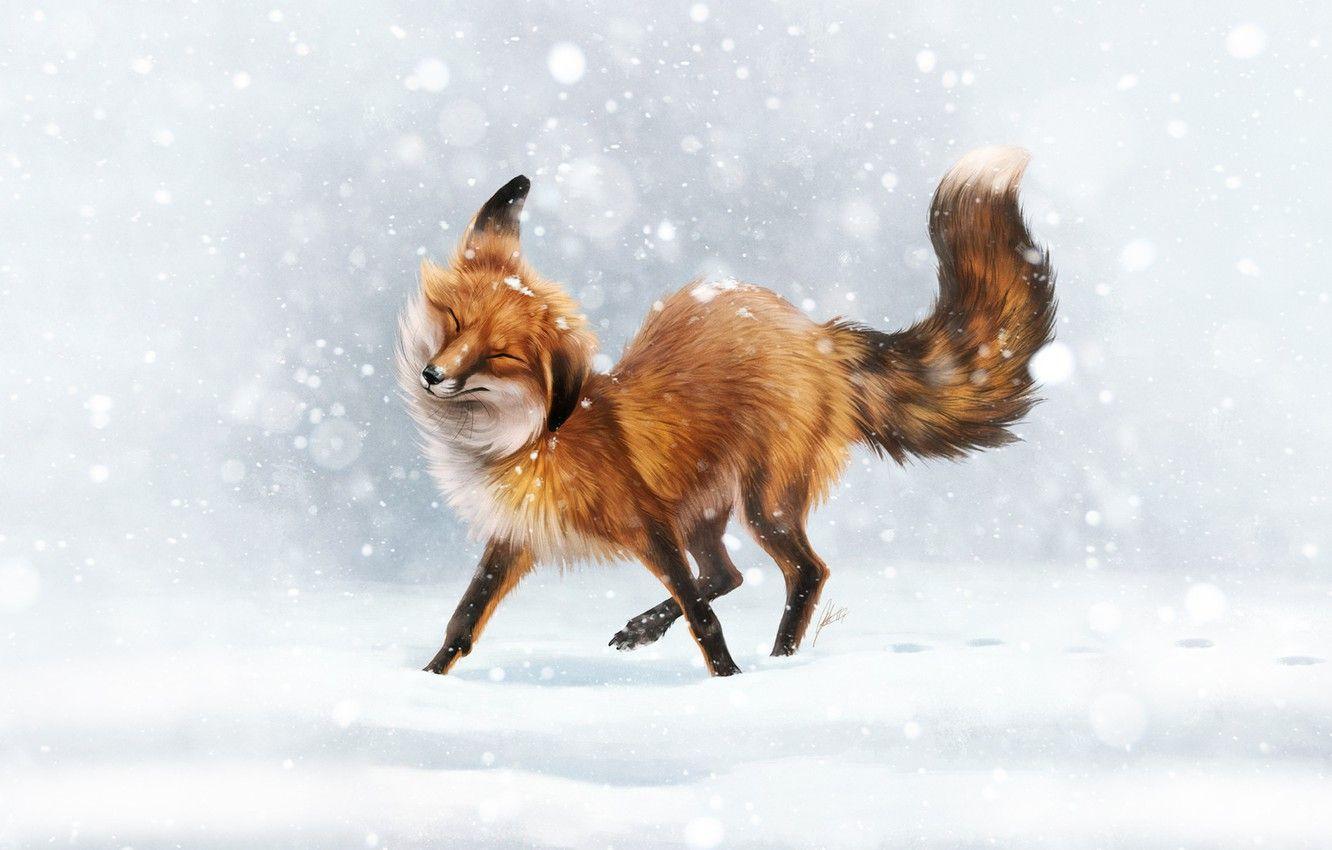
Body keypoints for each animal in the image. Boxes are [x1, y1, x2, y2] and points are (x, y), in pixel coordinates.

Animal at [397, 146, 1056, 677]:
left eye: (500, 355)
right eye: (454, 322)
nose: (434, 376)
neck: (535, 436)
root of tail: (815, 333)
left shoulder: (648, 522)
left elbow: (702, 617)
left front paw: (729, 682)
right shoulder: (516, 533)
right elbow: (464, 619)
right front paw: (428, 681)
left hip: (764, 504)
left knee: (804, 572)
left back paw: (778, 662)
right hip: (704, 508)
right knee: (727, 575)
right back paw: (646, 629)